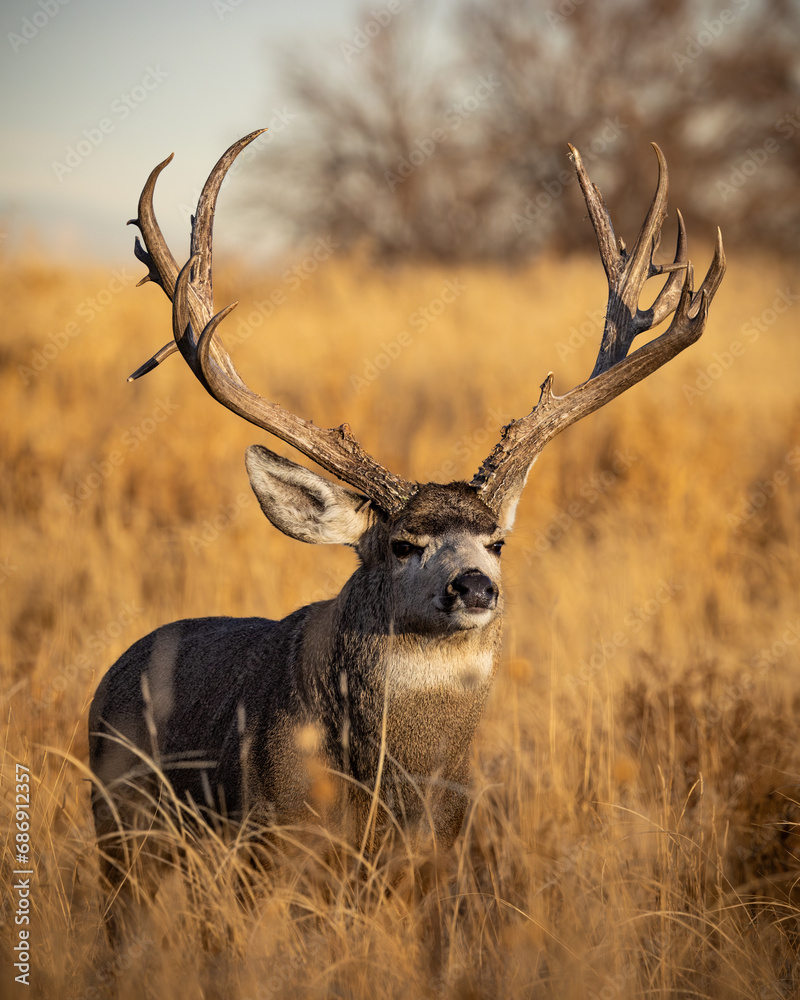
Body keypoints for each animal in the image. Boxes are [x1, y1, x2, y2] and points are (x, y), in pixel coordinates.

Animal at [88, 130, 725, 929]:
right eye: (402, 544)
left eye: (497, 540)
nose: (475, 585)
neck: (391, 788)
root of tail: (111, 674)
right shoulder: (273, 848)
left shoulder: (433, 862)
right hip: (121, 831)